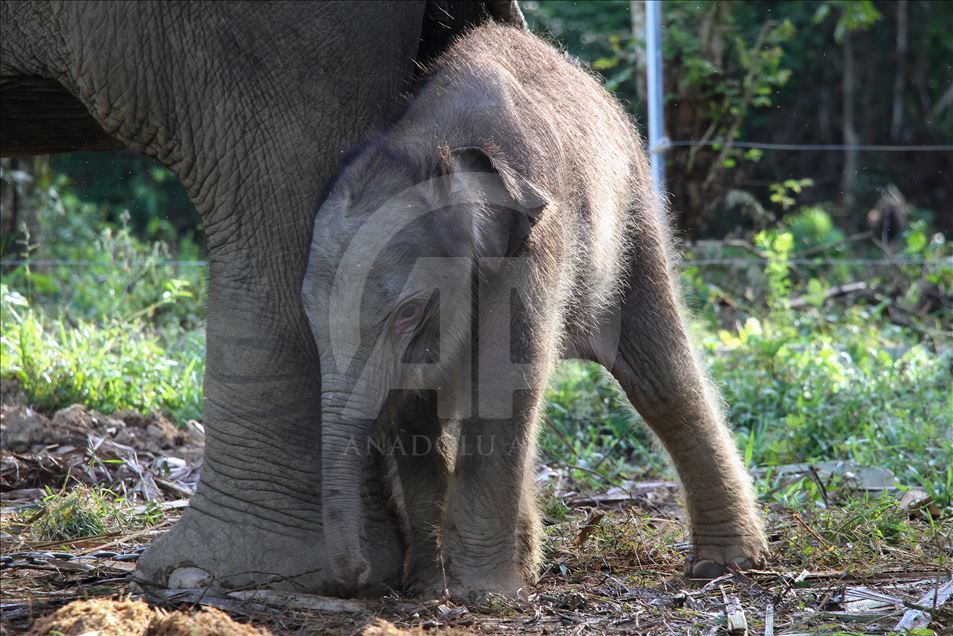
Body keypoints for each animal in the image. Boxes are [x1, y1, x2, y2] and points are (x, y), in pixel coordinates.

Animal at [301, 24, 769, 598]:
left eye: (406, 313)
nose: (354, 578)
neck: (432, 144)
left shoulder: (534, 250)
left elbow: (502, 384)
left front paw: (482, 595)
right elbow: (418, 410)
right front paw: (432, 588)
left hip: (633, 221)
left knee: (662, 378)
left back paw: (727, 564)